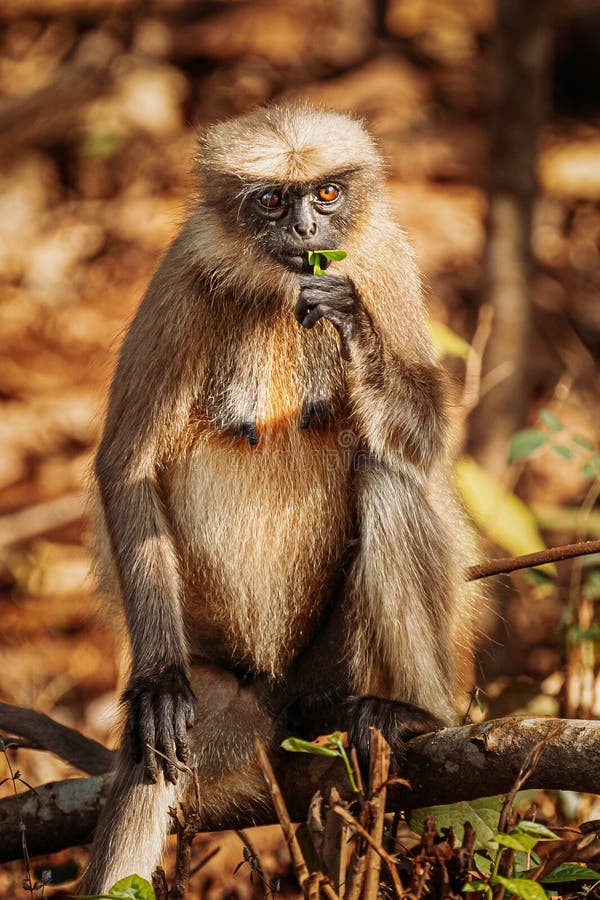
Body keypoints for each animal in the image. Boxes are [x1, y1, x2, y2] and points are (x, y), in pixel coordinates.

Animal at [83, 104, 475, 892]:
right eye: (270, 201)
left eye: (325, 194)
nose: (304, 231)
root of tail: (280, 695)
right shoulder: (178, 279)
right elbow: (125, 464)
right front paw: (158, 682)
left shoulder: (383, 261)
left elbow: (423, 441)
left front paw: (352, 325)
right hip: (232, 695)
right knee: (156, 756)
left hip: (337, 666)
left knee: (388, 475)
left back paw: (417, 715)